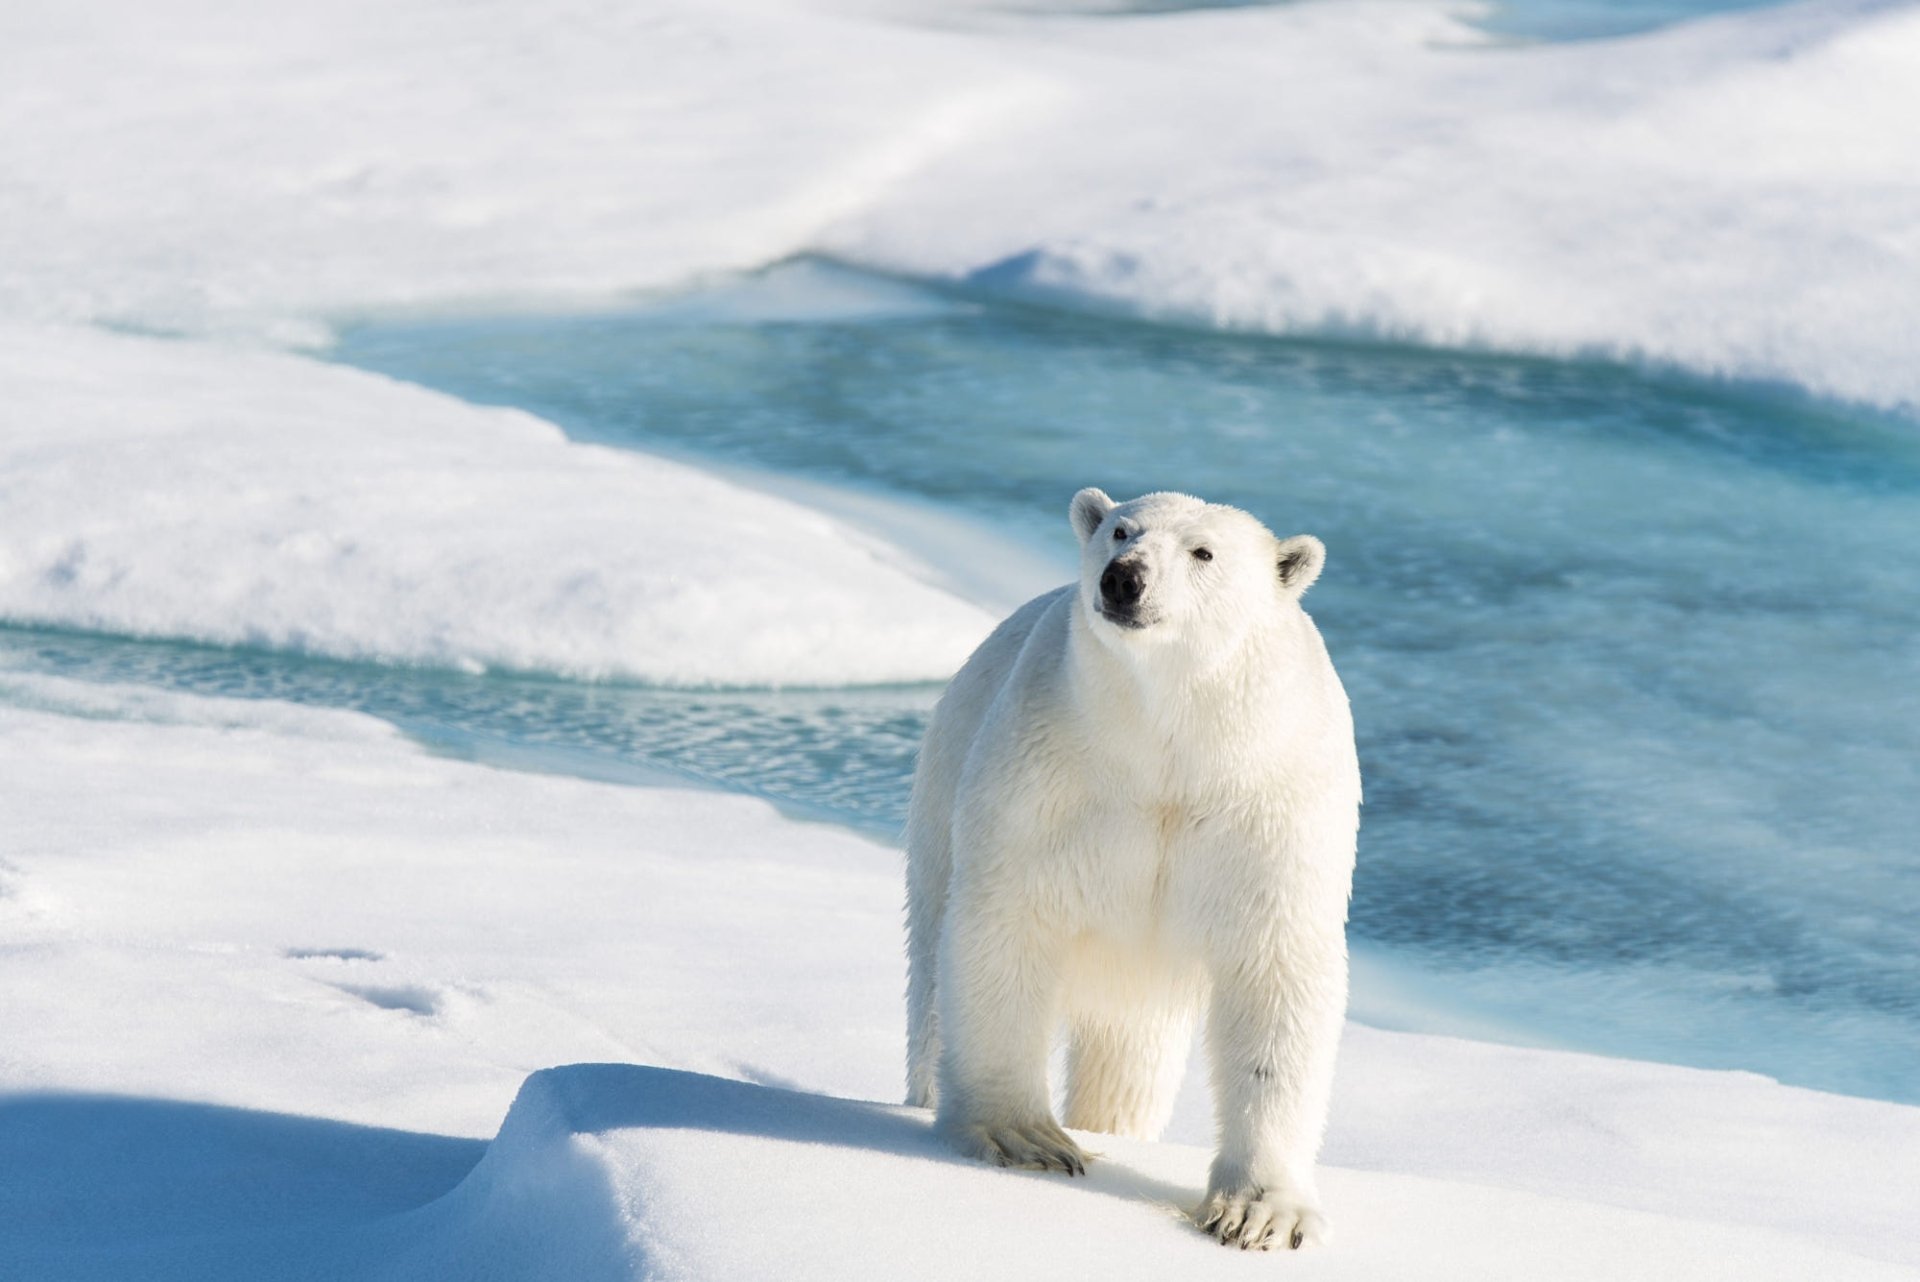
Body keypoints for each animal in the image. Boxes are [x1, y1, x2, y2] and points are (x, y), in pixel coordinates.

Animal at [904, 487, 1360, 1250]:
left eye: (1204, 551)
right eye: (1121, 531)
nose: (1125, 579)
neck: (1169, 742)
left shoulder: (1273, 805)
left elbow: (1275, 974)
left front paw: (1260, 1212)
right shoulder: (1049, 774)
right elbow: (1007, 924)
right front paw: (1024, 1138)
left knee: (1130, 1054)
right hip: (942, 790)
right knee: (930, 986)